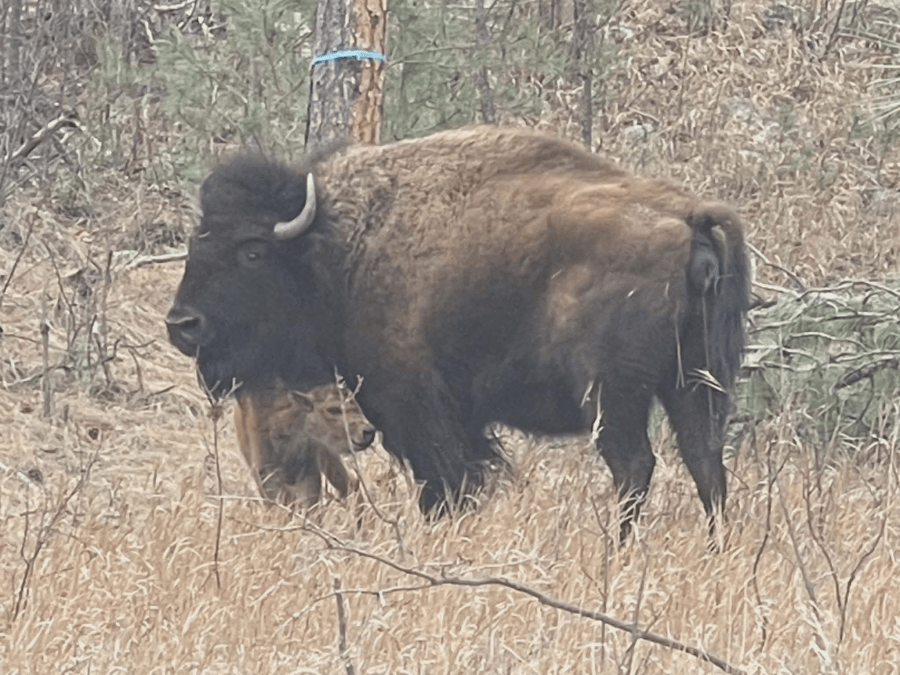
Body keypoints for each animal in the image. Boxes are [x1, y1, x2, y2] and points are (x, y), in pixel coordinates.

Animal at [166, 125, 750, 540]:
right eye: (198, 242)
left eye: (251, 250)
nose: (182, 325)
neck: (337, 246)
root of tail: (688, 218)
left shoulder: (414, 408)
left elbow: (442, 483)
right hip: (695, 383)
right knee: (704, 460)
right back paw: (715, 545)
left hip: (613, 395)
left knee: (634, 466)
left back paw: (620, 548)